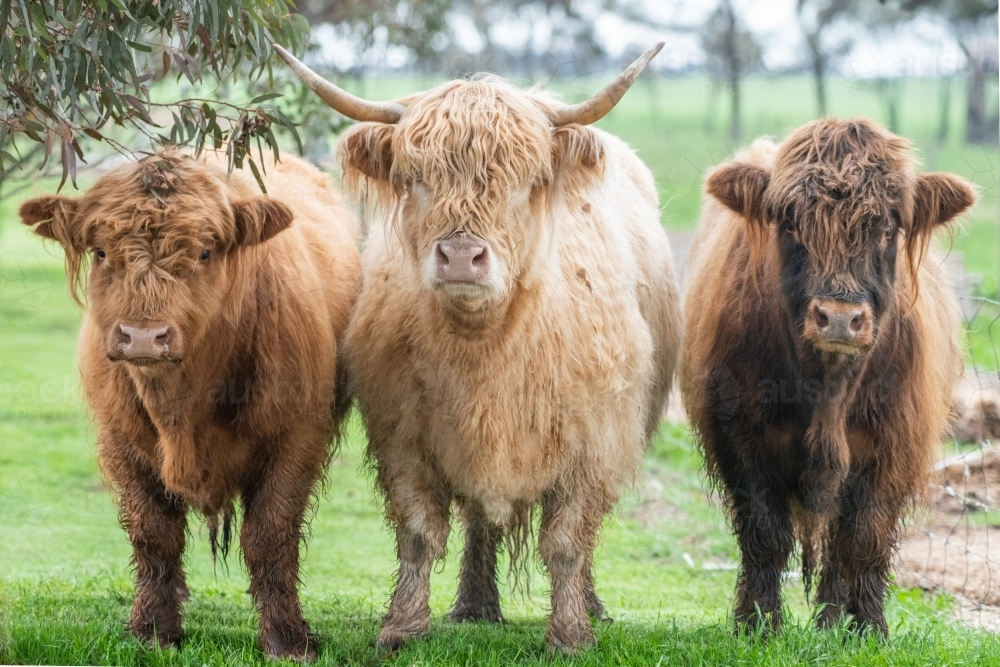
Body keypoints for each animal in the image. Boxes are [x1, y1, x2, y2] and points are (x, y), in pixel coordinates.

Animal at [18, 151, 361, 660]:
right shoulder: (120, 441)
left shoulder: (297, 437)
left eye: (204, 252)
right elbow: (153, 533)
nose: (143, 336)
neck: (183, 407)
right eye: (101, 251)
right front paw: (154, 631)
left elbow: (270, 534)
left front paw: (287, 640)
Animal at [275, 44, 682, 653]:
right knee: (479, 520)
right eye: (415, 177)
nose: (462, 257)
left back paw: (585, 606)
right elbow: (419, 533)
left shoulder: (594, 443)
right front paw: (401, 626)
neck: (487, 351)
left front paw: (570, 634)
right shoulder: (403, 435)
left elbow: (567, 541)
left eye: (527, 179)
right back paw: (475, 606)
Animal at [681, 118, 977, 637]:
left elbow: (864, 538)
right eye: (790, 222)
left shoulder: (894, 443)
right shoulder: (741, 435)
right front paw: (758, 624)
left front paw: (867, 629)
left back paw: (832, 623)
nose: (839, 318)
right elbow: (765, 533)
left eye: (888, 227)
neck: (829, 389)